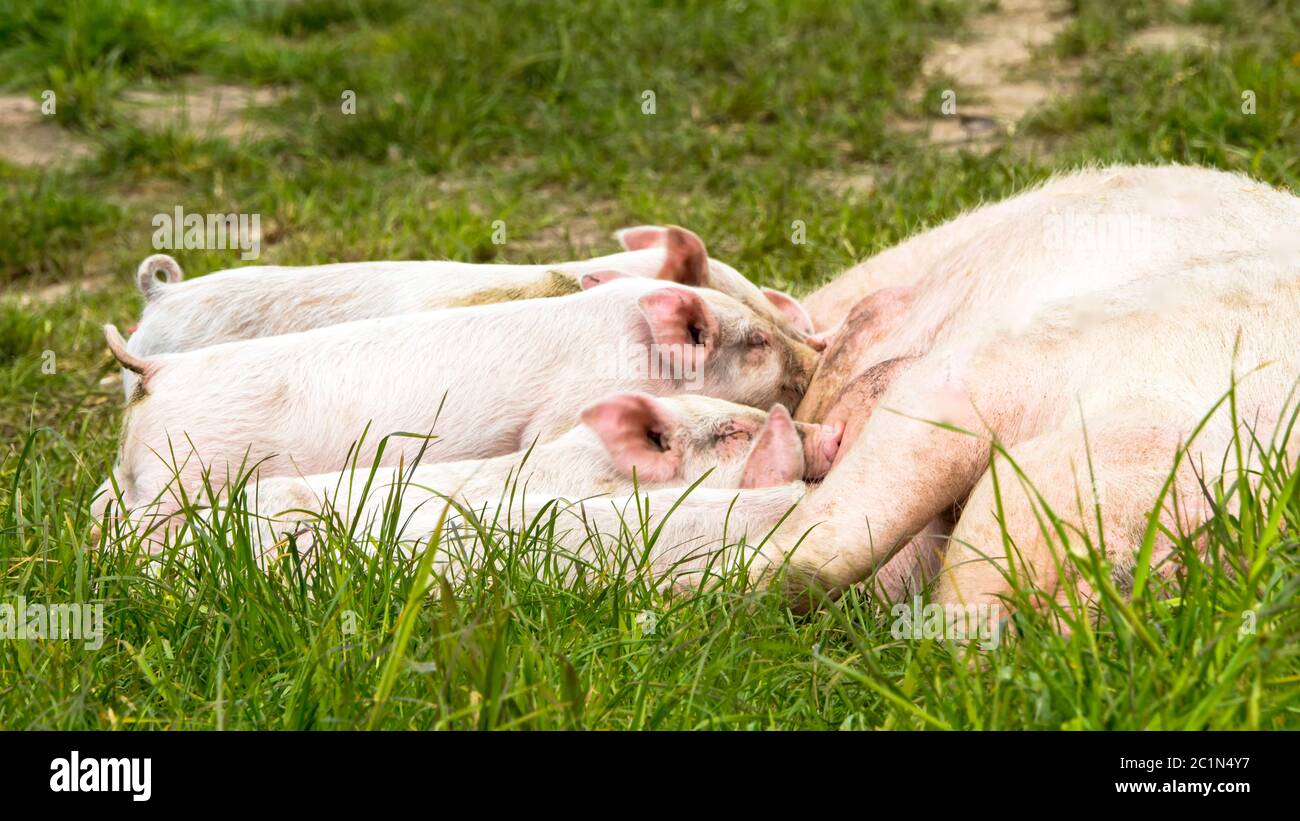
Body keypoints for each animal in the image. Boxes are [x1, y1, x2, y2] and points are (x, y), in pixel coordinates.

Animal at [97, 276, 821, 529]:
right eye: (757, 342)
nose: (817, 357)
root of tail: (155, 370)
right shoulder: (565, 412)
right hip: (180, 475)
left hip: (138, 473)